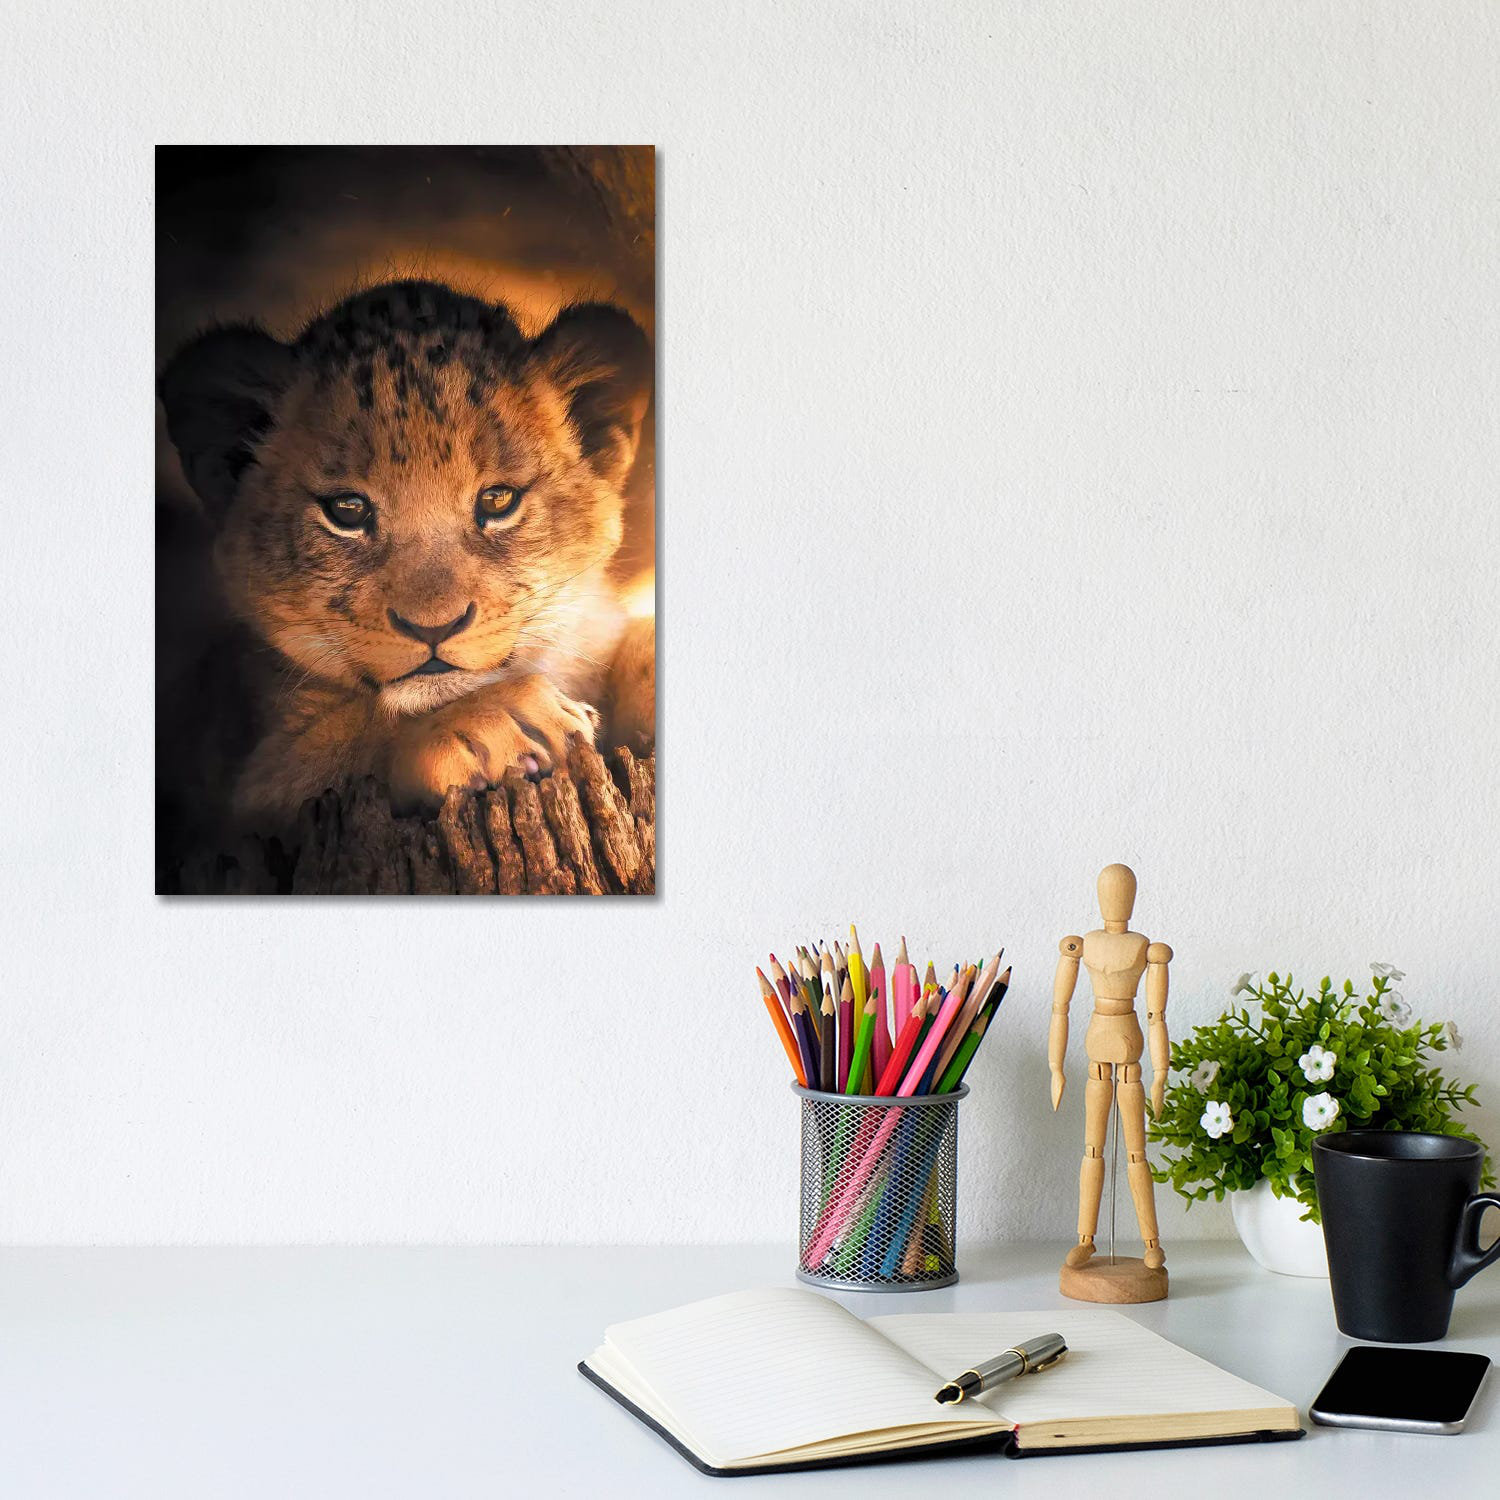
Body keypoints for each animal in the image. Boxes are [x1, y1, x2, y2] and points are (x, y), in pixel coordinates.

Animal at [159, 278, 654, 833]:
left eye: (497, 500)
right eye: (347, 510)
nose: (433, 627)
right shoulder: (238, 795)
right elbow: (346, 742)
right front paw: (495, 721)